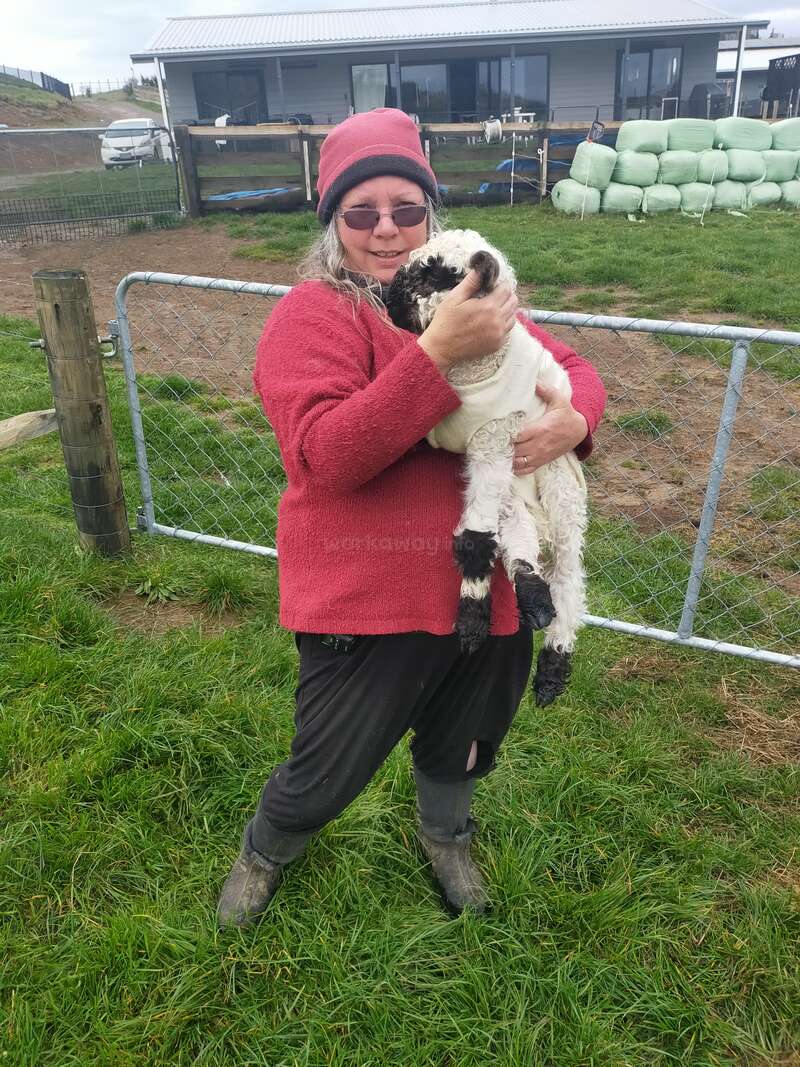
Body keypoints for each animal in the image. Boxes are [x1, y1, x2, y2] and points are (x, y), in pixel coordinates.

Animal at [385, 228, 588, 706]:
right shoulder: (460, 438)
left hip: (562, 490)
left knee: (569, 578)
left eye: (433, 276)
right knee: (519, 545)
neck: (471, 370)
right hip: (515, 498)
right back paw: (534, 600)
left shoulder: (494, 436)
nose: (387, 300)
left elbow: (474, 541)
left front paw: (472, 625)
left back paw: (553, 662)